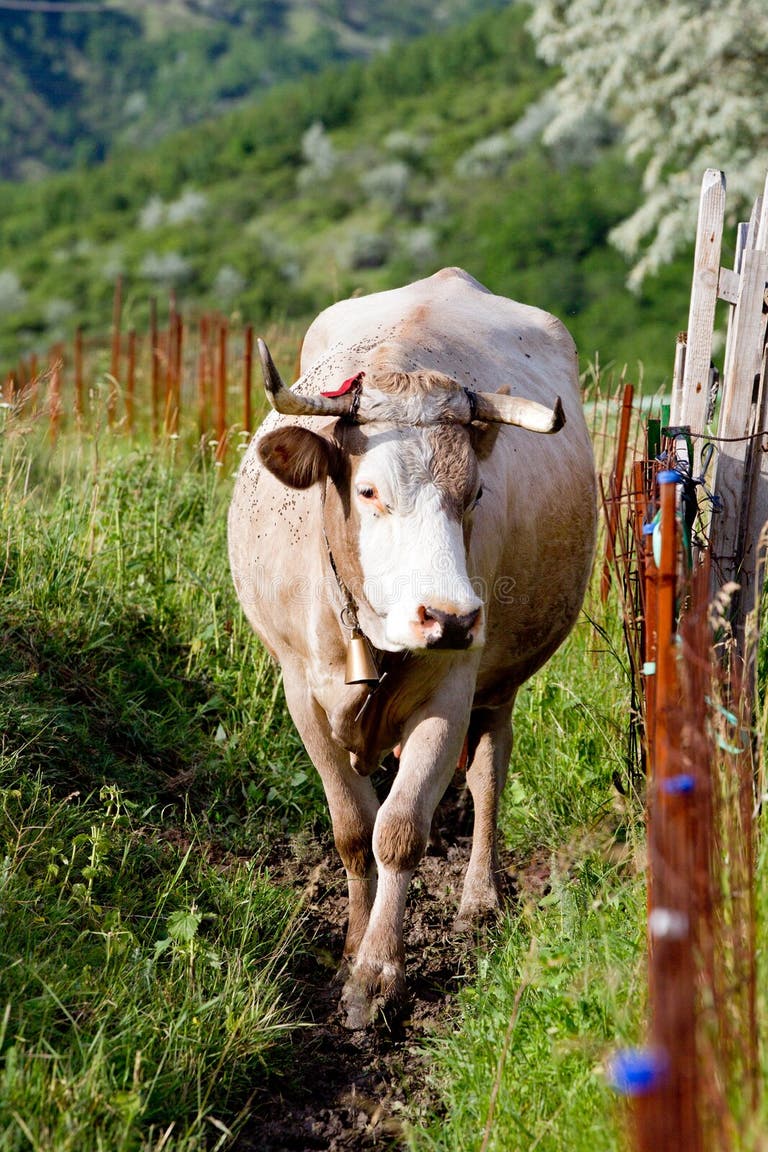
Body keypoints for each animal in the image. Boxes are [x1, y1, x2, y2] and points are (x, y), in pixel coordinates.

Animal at [228, 268, 596, 1029]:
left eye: (475, 493)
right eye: (369, 490)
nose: (450, 618)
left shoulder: (450, 694)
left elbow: (397, 830)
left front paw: (376, 975)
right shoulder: (301, 693)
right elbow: (350, 828)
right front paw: (350, 944)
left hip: (498, 683)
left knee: (487, 772)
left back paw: (479, 900)